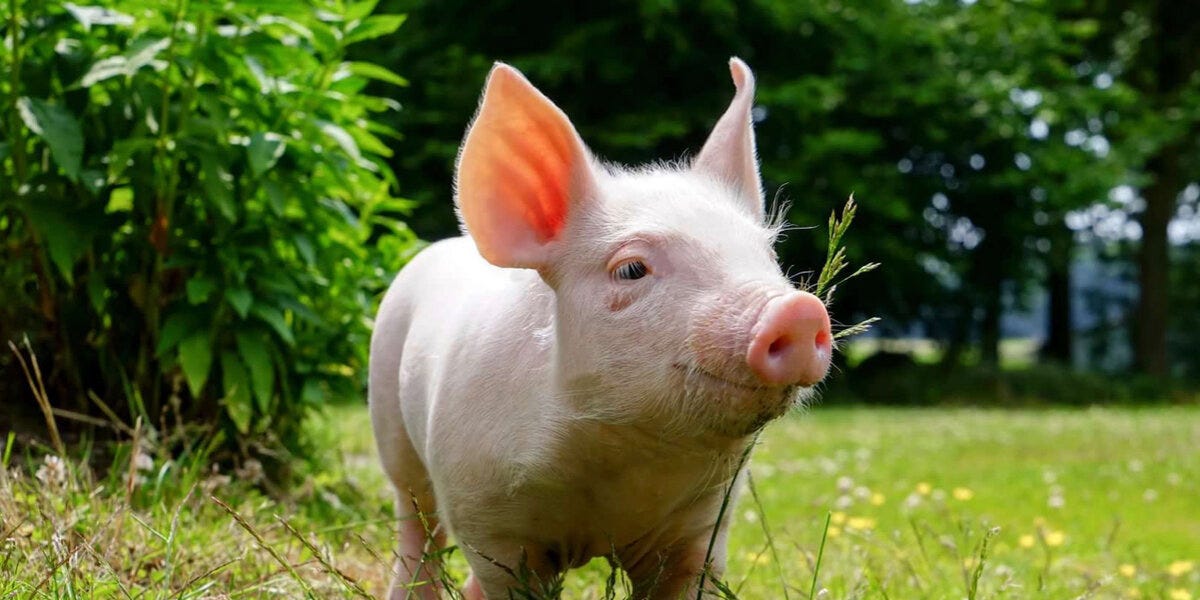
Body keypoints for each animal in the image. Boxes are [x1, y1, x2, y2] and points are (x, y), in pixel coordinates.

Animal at [369, 58, 834, 599]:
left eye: (768, 255)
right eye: (631, 268)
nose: (798, 309)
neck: (616, 471)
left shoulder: (702, 525)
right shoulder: (488, 519)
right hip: (391, 425)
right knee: (416, 527)